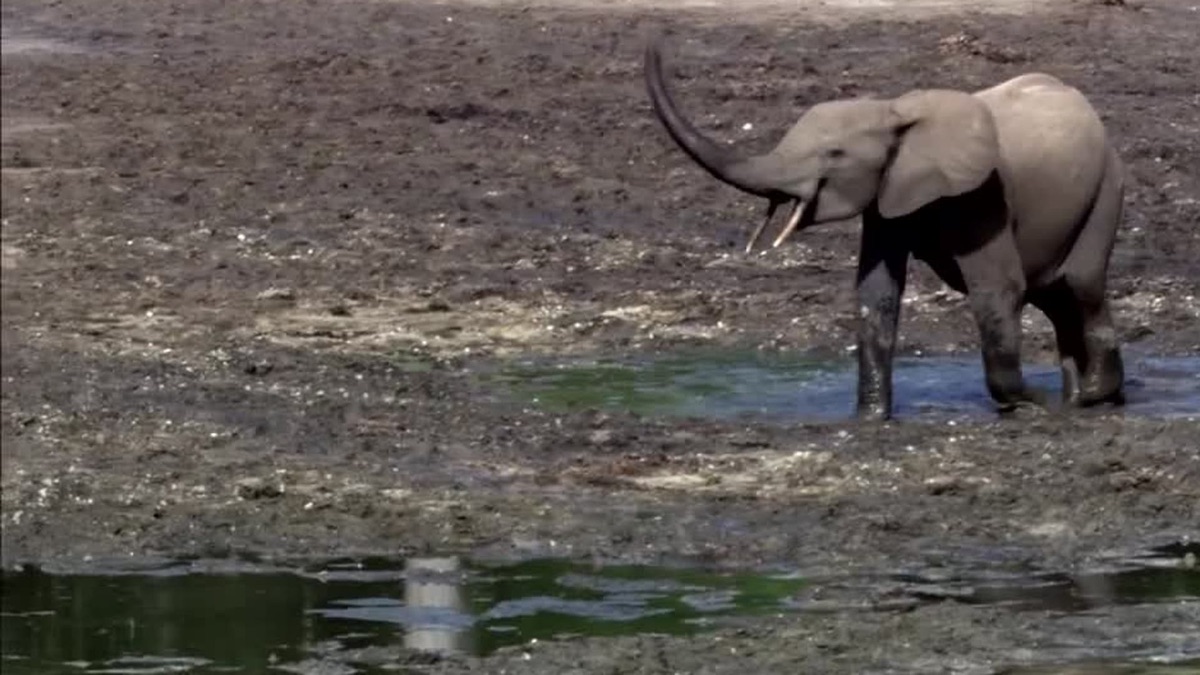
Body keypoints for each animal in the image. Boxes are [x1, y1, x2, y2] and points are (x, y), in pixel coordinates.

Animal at [644, 38, 1126, 420]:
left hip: (1107, 183)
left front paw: (1032, 404)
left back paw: (1092, 396)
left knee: (1081, 284)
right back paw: (1084, 397)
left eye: (834, 153)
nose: (659, 38)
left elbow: (998, 290)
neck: (893, 112)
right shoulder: (885, 194)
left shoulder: (982, 193)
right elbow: (876, 294)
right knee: (1055, 296)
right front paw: (871, 419)